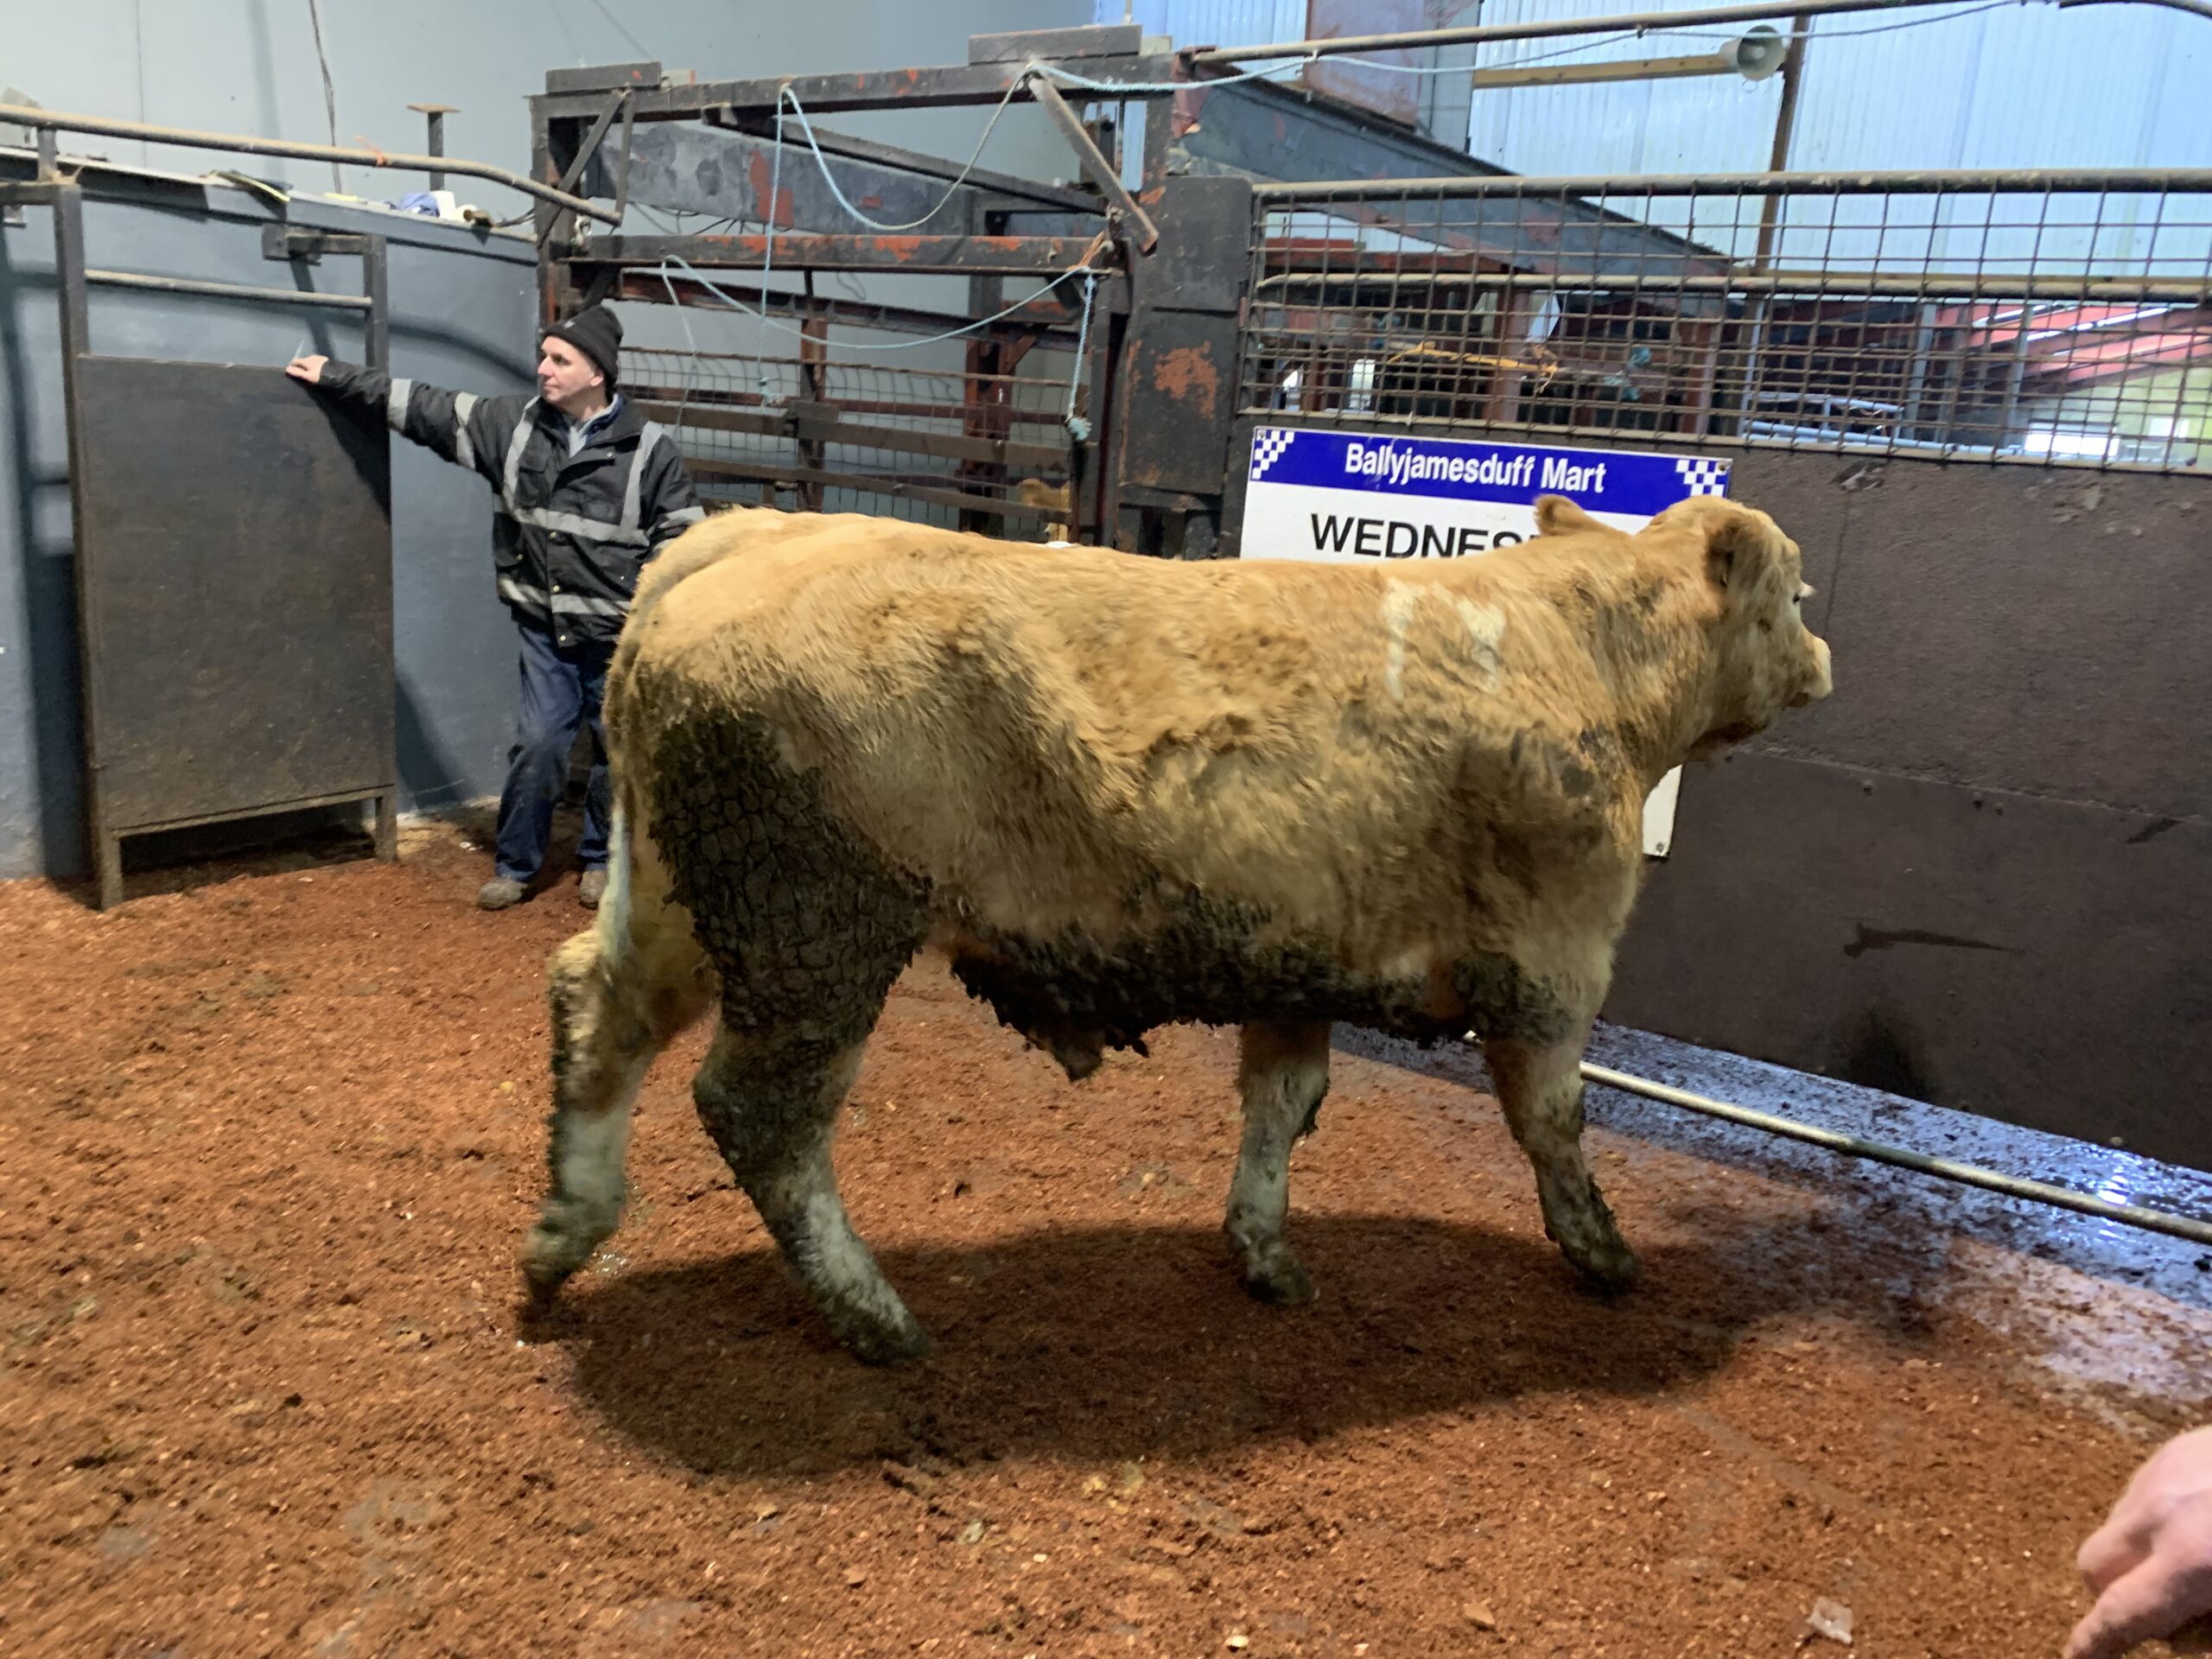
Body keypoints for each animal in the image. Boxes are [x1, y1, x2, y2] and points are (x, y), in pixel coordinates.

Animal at [519, 495, 1833, 1363]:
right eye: (1793, 596)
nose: (1823, 656)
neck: (1576, 655)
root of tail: (734, 539)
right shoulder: (1554, 962)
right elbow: (1553, 1125)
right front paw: (1600, 1252)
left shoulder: (1301, 957)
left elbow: (1284, 1106)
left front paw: (1264, 1251)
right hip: (814, 926)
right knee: (763, 1114)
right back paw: (873, 1315)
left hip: (687, 897)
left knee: (596, 1008)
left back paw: (564, 1235)